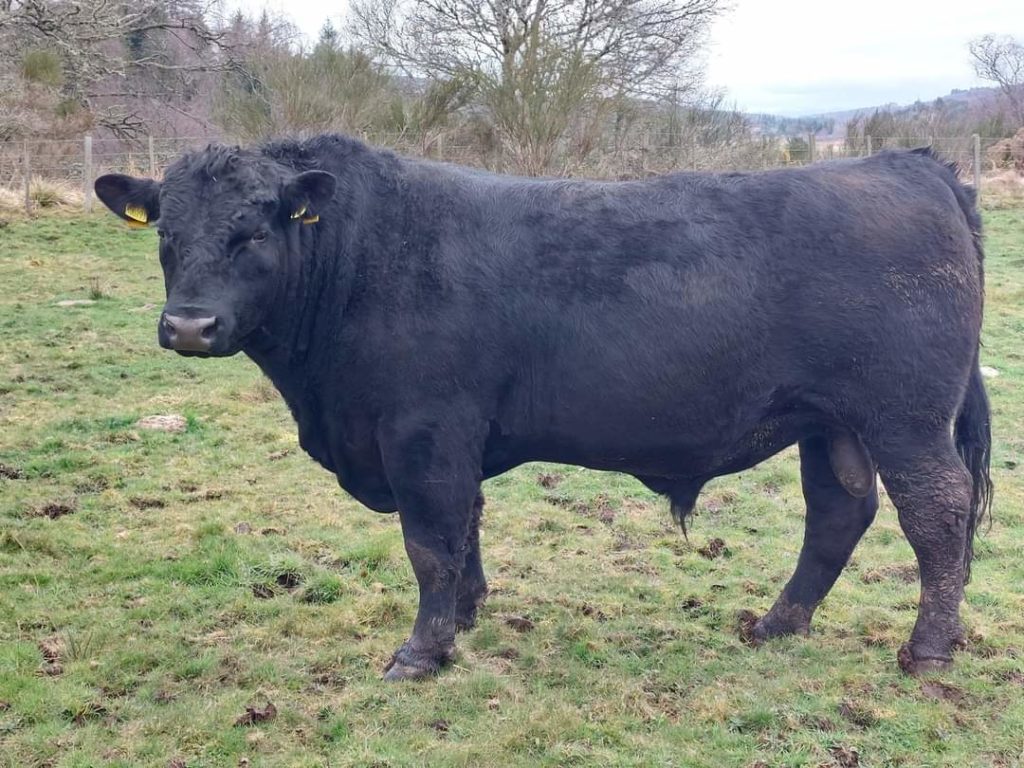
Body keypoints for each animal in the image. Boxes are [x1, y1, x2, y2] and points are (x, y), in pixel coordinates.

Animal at [94, 136, 992, 681]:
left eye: (253, 232)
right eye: (166, 232)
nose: (189, 325)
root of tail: (908, 164)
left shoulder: (423, 432)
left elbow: (429, 542)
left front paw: (421, 652)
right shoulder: (451, 441)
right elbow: (464, 531)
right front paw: (467, 615)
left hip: (904, 418)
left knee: (937, 517)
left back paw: (926, 651)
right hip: (831, 423)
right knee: (838, 513)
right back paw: (778, 625)